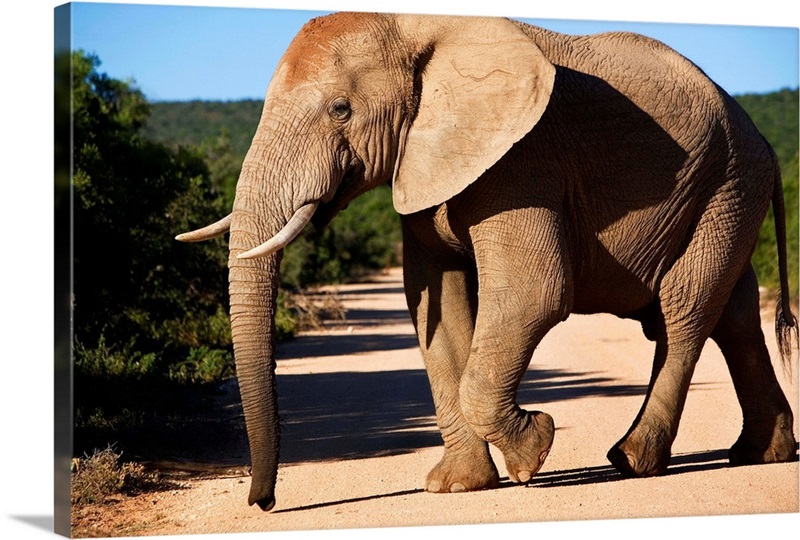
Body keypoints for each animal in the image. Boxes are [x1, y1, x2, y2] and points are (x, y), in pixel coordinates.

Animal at [176, 12, 797, 511]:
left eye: (340, 109)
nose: (262, 503)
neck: (414, 27)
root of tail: (767, 142)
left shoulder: (523, 159)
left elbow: (534, 292)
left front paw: (534, 450)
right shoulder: (426, 162)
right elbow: (438, 305)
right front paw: (457, 487)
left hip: (726, 185)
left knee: (683, 313)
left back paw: (632, 460)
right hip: (729, 196)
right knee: (735, 315)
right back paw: (762, 453)